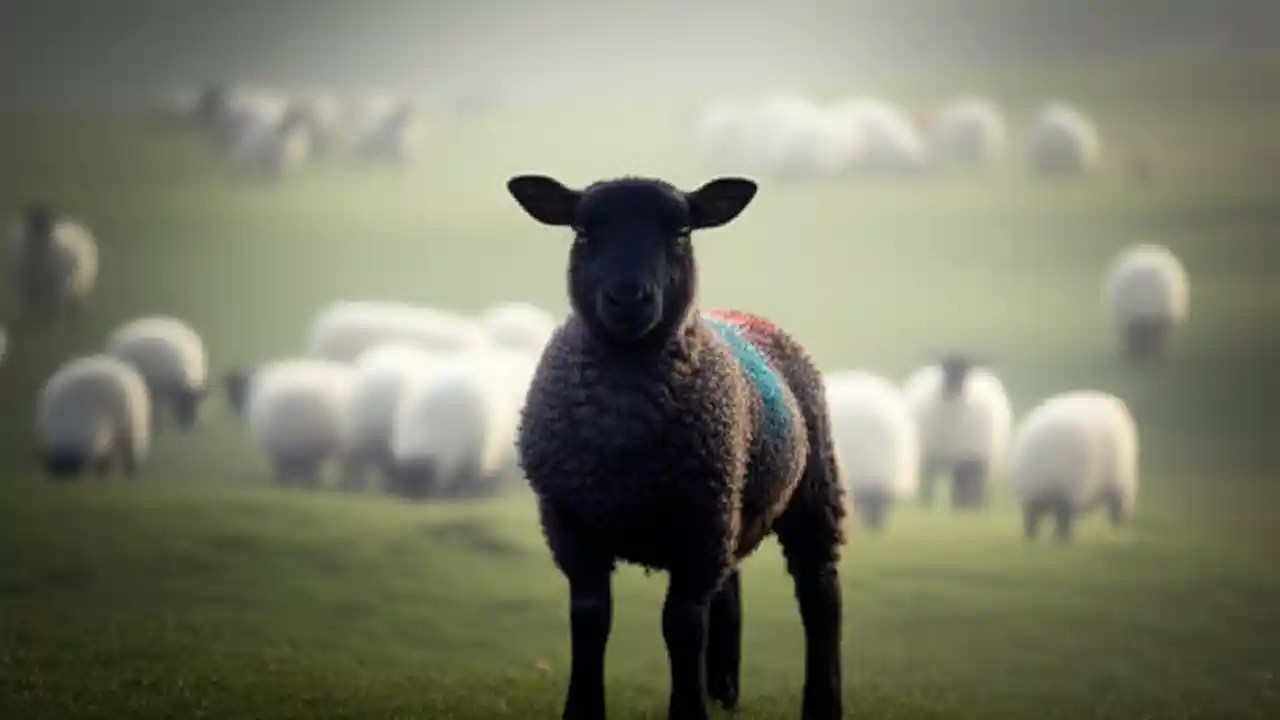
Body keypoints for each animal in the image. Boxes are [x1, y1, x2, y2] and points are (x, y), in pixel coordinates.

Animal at [507, 174, 846, 719]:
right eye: (583, 231)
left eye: (681, 232)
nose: (627, 297)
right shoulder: (569, 524)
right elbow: (590, 618)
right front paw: (583, 709)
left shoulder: (697, 529)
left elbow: (682, 625)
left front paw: (687, 711)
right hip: (732, 505)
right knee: (731, 589)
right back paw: (724, 690)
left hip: (812, 488)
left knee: (820, 594)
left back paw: (821, 703)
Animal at [903, 355, 1013, 509]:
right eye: (945, 368)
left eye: (966, 370)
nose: (951, 390)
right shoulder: (934, 456)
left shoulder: (967, 459)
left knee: (976, 486)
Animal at [1010, 391, 1139, 541]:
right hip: (1067, 488)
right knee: (1058, 518)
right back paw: (1060, 539)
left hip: (1038, 491)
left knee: (1034, 517)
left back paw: (1035, 538)